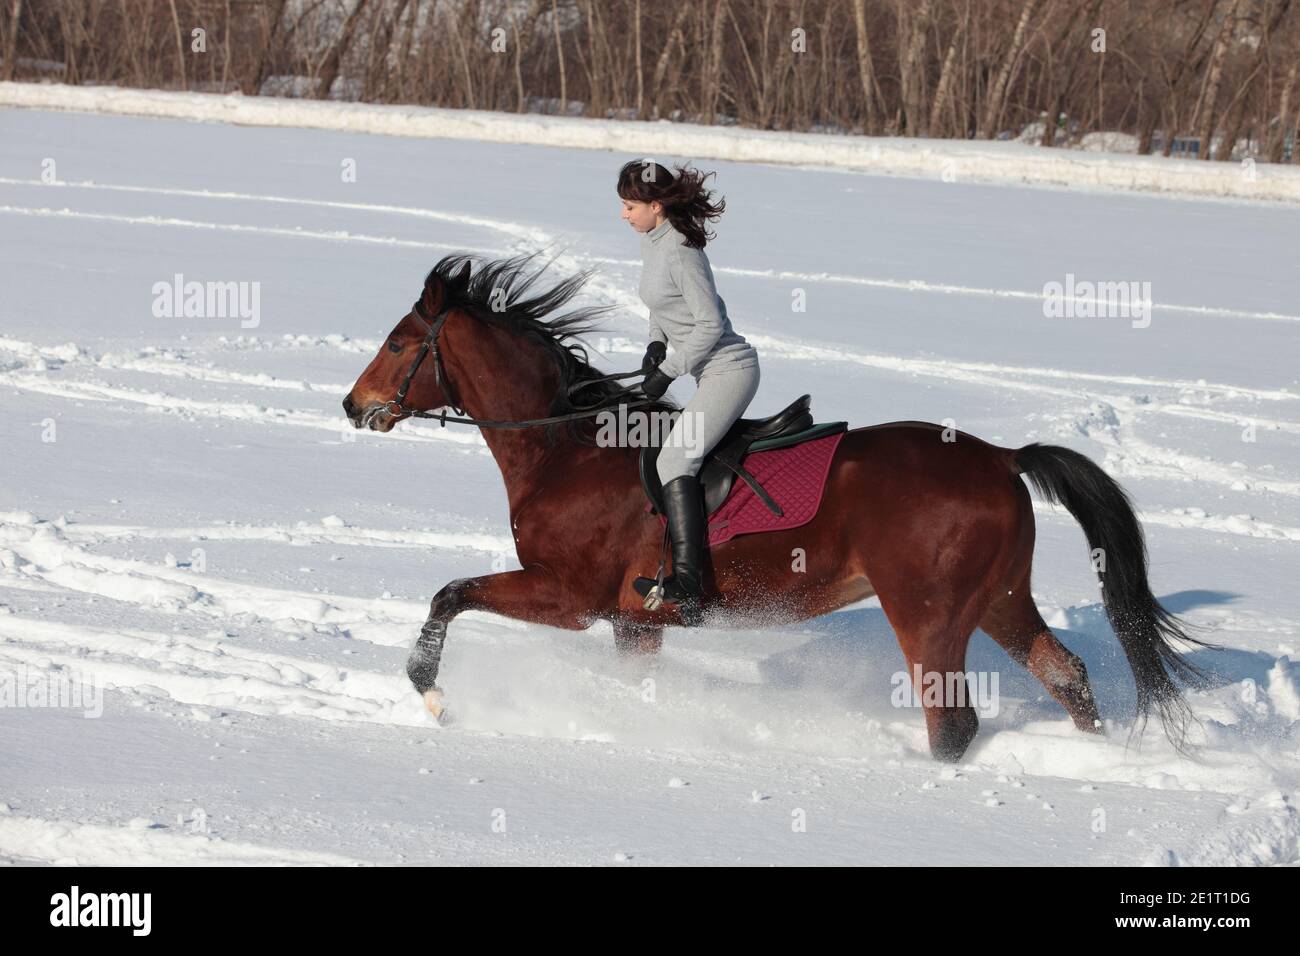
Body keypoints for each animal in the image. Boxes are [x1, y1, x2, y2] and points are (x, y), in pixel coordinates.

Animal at [342, 252, 1211, 762]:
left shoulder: (568, 596)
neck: (566, 445)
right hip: (998, 597)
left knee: (953, 723)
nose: (355, 407)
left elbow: (450, 595)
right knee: (1067, 675)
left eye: (398, 342)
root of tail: (1001, 457)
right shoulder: (632, 622)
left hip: (928, 613)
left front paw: (432, 694)